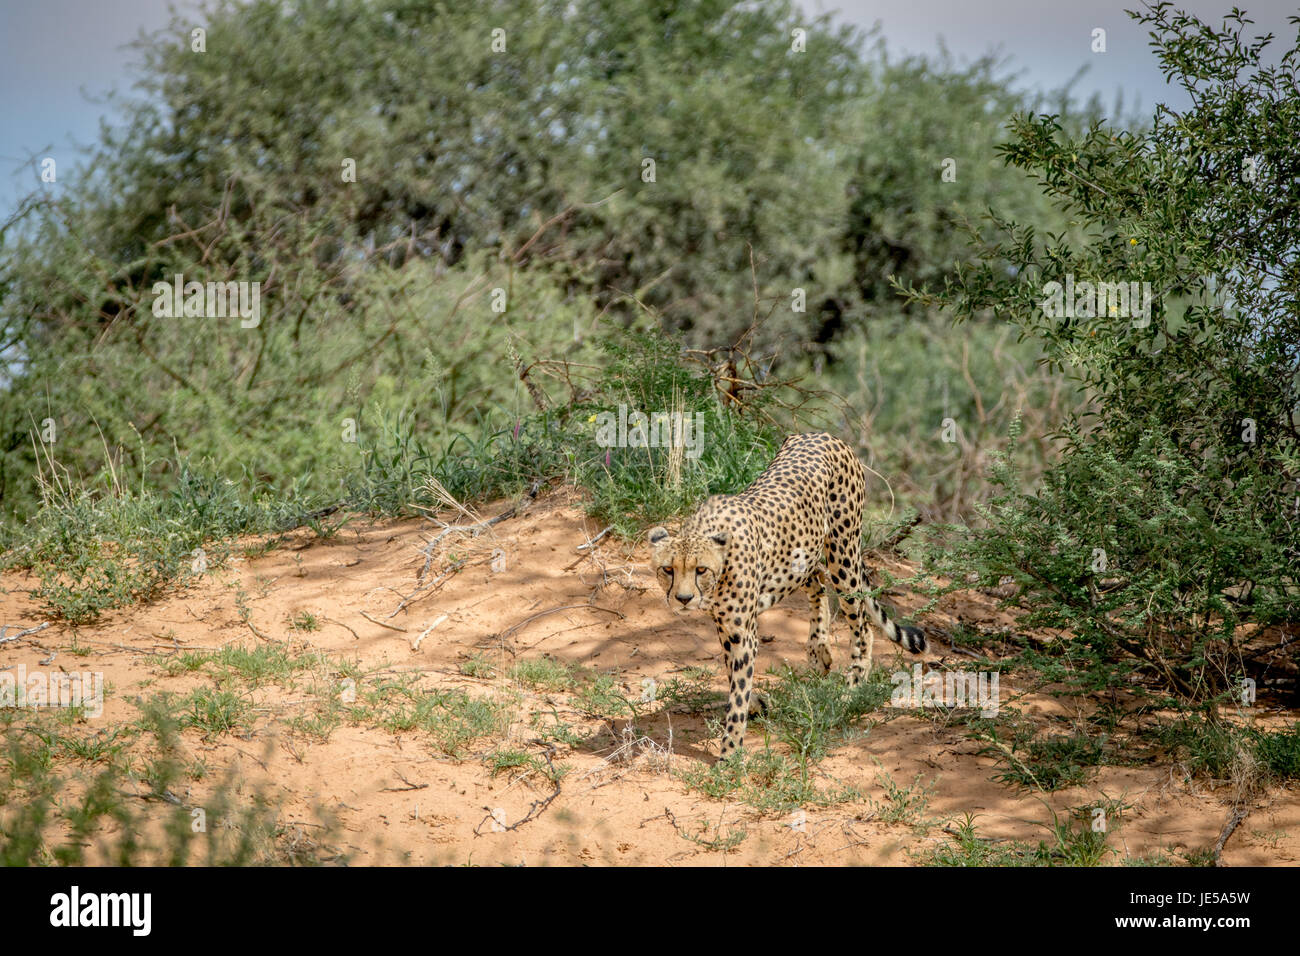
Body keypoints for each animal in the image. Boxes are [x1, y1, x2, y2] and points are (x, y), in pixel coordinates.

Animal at [648, 432, 926, 759]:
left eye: (700, 569)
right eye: (668, 569)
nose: (683, 599)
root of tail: (822, 434)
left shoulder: (742, 632)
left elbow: (738, 690)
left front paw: (730, 751)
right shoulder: (726, 627)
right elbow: (733, 673)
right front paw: (755, 705)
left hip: (842, 553)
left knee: (861, 622)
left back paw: (853, 685)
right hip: (800, 557)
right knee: (816, 581)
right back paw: (819, 651)